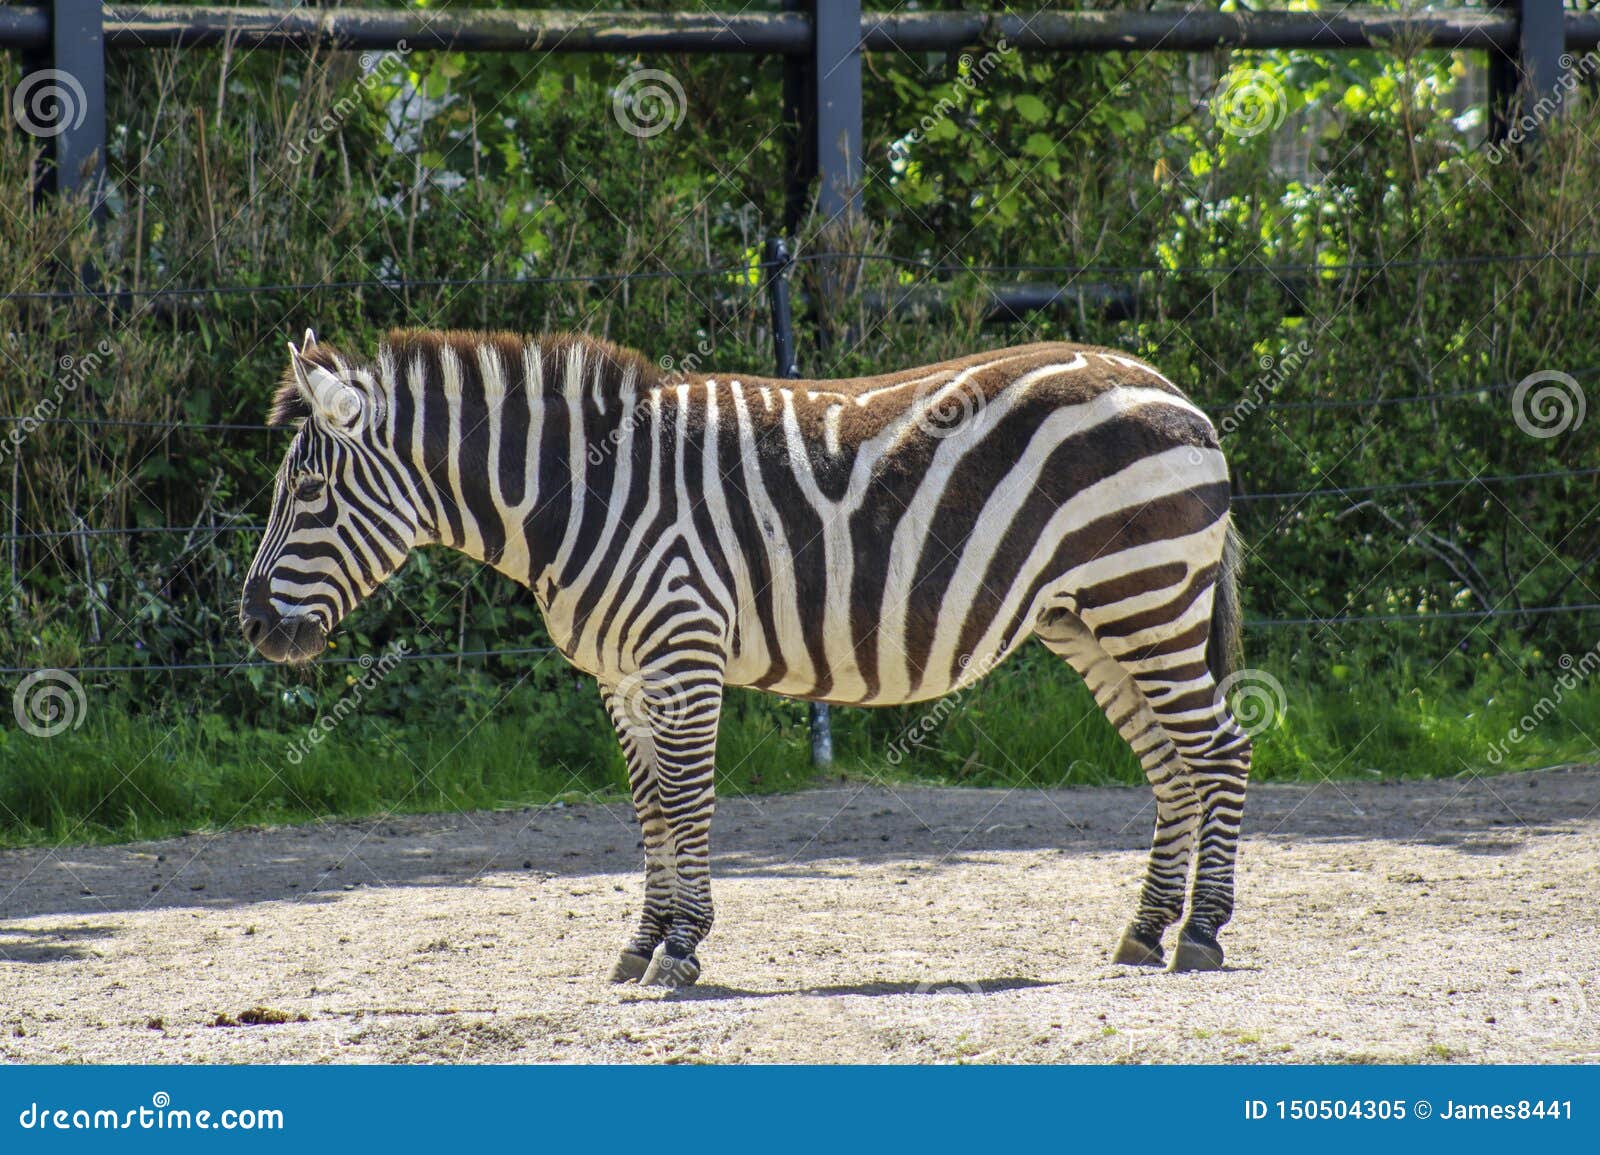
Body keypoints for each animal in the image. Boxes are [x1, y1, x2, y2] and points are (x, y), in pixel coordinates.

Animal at [241, 328, 1252, 987]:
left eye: (310, 491)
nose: (253, 627)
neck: (585, 494)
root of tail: (1171, 387)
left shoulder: (681, 652)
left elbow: (689, 801)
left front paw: (684, 947)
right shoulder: (622, 677)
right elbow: (650, 808)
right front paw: (642, 944)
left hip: (1148, 598)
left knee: (1220, 751)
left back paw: (1201, 933)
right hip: (1092, 618)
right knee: (1172, 765)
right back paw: (1144, 930)